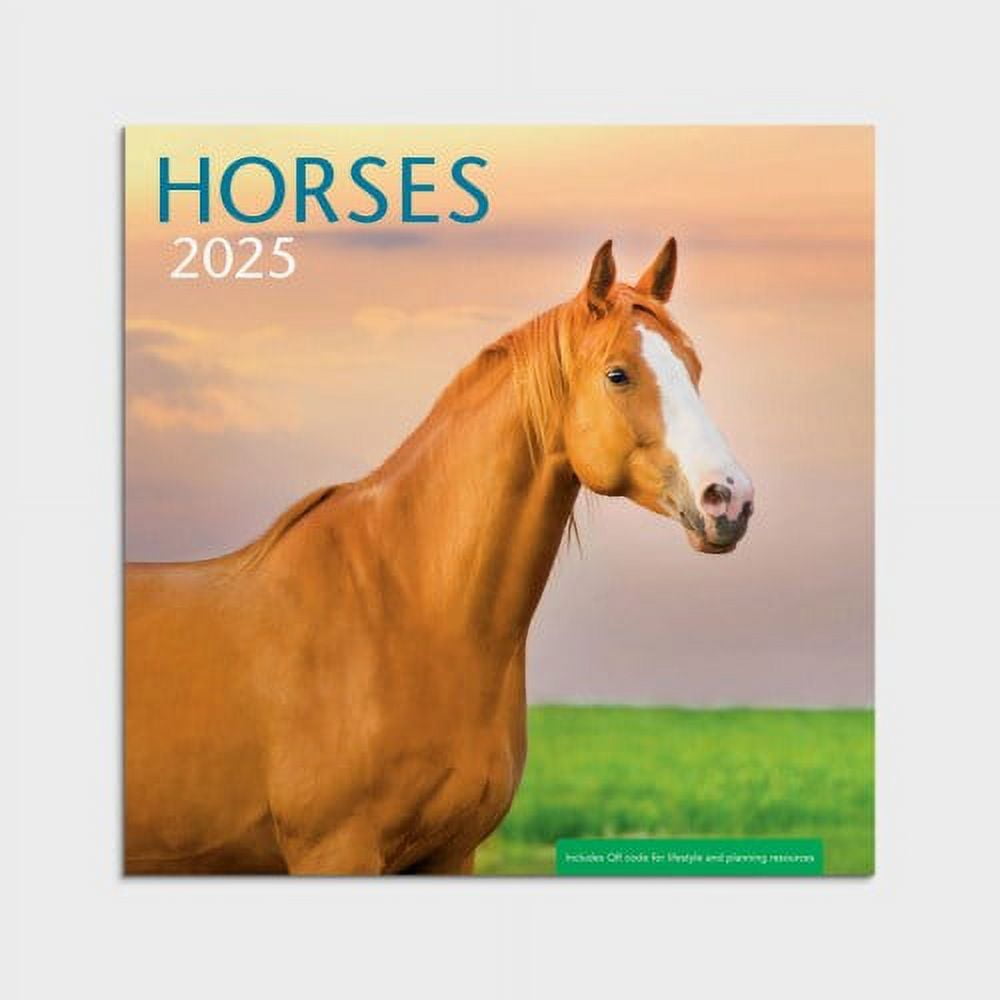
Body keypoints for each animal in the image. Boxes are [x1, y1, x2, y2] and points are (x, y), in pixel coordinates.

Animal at [124, 238, 754, 875]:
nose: (729, 499)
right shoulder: (337, 851)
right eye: (618, 374)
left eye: (694, 369)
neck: (403, 608)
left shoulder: (451, 853)